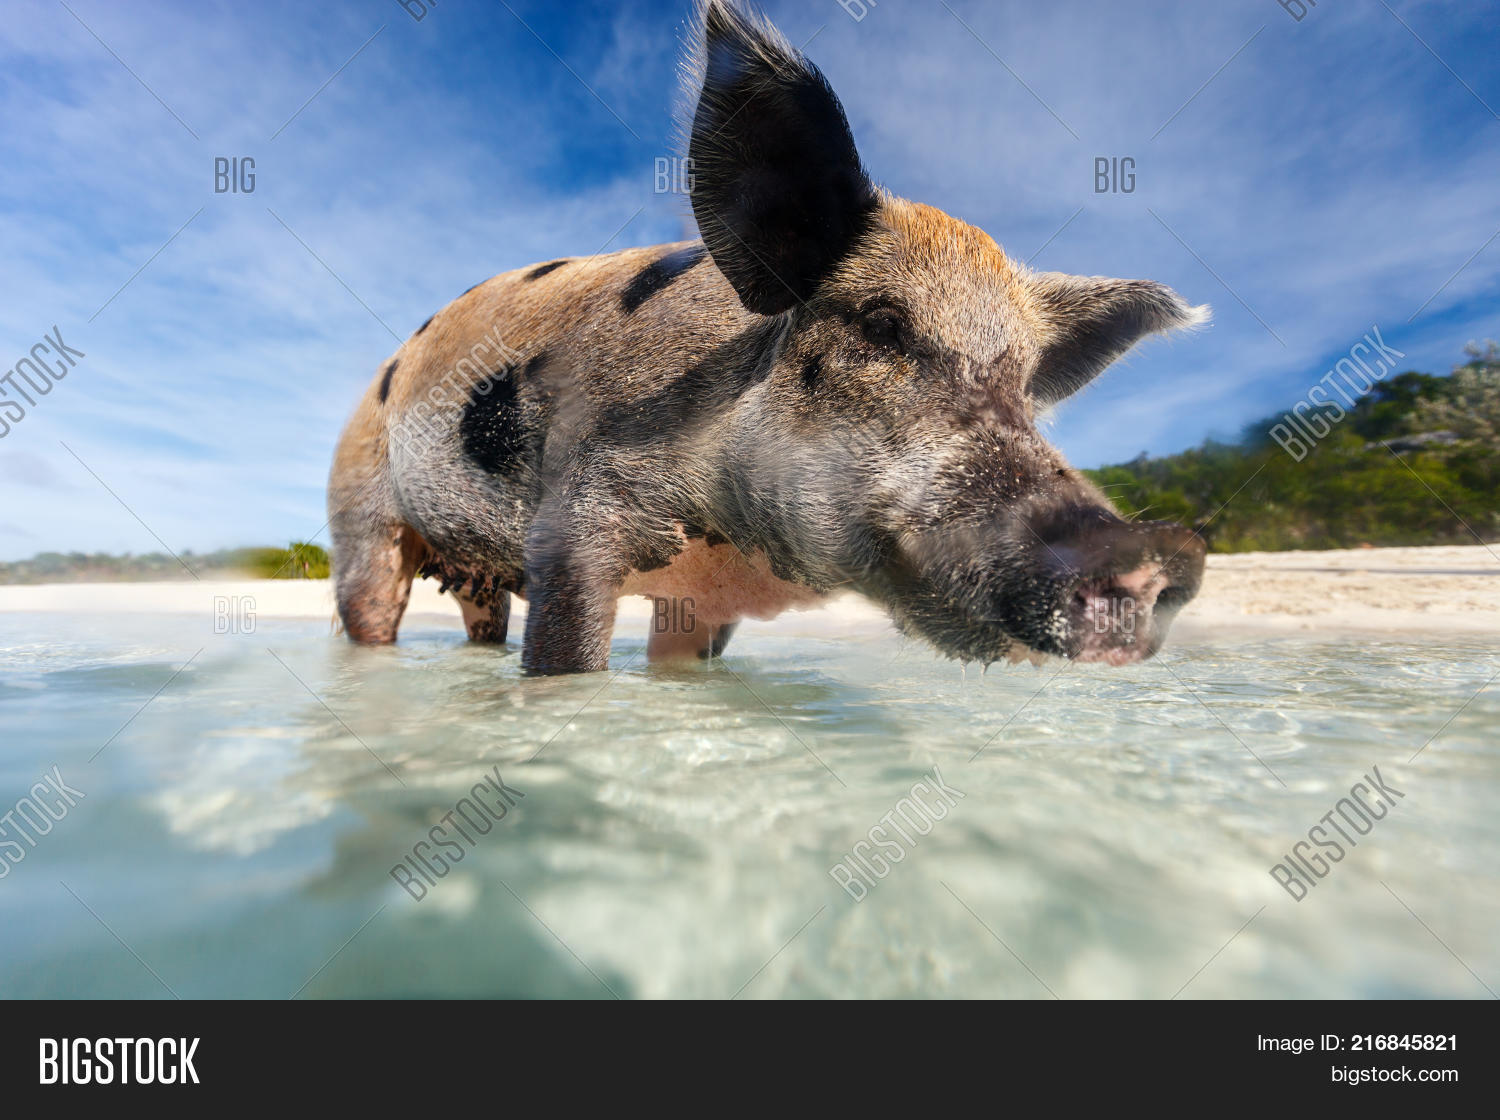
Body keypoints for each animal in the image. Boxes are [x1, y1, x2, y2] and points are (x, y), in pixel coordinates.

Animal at [327, 0, 1208, 675]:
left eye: (1026, 385)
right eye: (881, 324)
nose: (1157, 550)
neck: (733, 544)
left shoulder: (702, 600)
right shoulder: (575, 522)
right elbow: (565, 663)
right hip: (358, 515)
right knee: (368, 610)